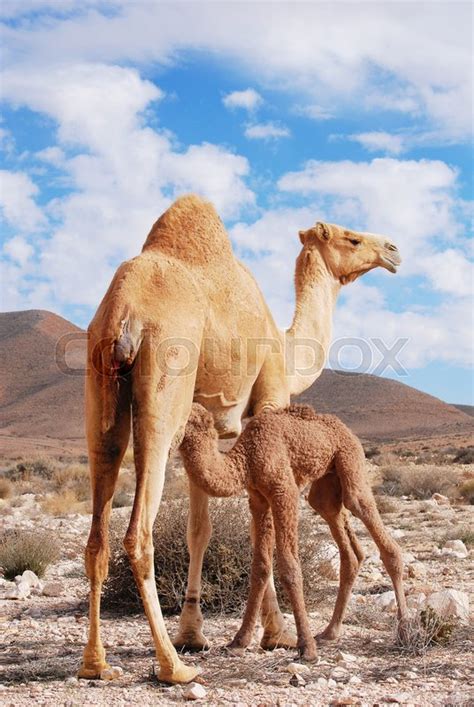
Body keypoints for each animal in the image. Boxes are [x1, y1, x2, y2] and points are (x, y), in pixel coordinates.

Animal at [180, 403, 408, 660]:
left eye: (186, 416)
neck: (246, 458)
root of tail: (345, 429)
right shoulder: (257, 499)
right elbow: (260, 567)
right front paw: (239, 641)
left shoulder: (283, 490)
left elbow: (290, 567)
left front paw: (306, 648)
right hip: (326, 485)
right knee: (347, 546)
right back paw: (329, 632)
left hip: (350, 462)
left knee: (370, 519)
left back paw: (405, 630)